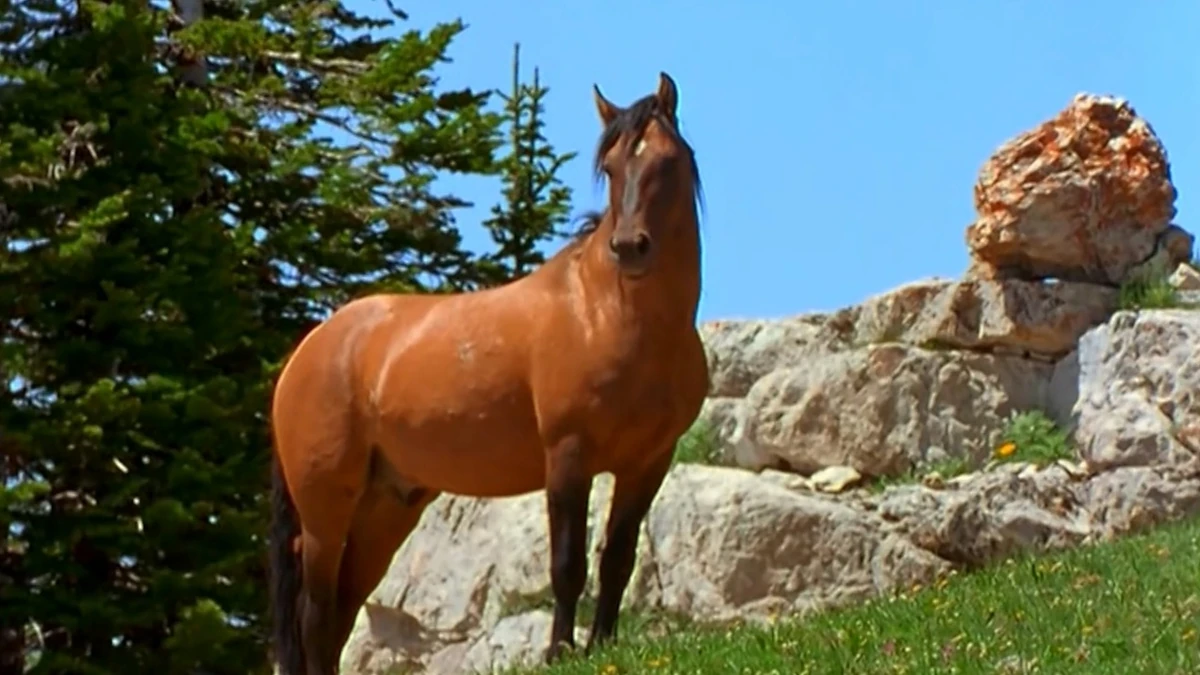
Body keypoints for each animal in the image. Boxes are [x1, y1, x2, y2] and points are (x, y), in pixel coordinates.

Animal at [266, 71, 708, 675]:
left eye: (667, 160)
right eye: (613, 167)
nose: (629, 247)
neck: (609, 314)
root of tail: (307, 352)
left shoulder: (648, 462)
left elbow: (618, 560)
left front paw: (600, 645)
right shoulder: (567, 456)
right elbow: (567, 566)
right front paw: (559, 651)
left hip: (384, 511)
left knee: (338, 613)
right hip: (325, 508)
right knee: (313, 613)